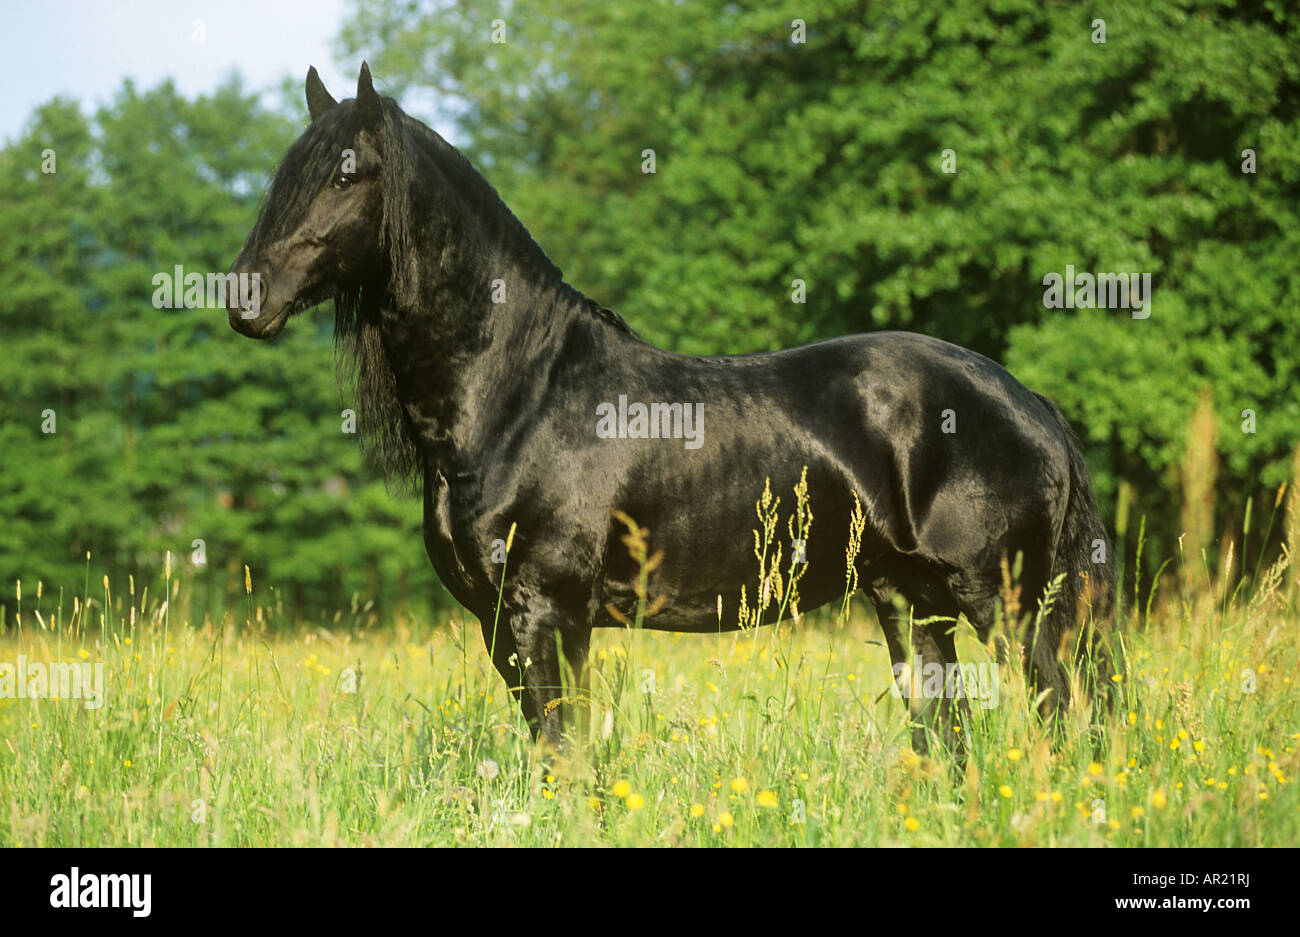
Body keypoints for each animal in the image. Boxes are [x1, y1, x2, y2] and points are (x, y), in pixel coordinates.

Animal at [226, 63, 1115, 755]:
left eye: (346, 175)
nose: (242, 298)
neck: (519, 396)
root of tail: (1027, 400)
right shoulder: (502, 624)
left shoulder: (544, 612)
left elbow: (562, 755)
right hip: (912, 602)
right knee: (949, 734)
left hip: (1009, 604)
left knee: (1060, 720)